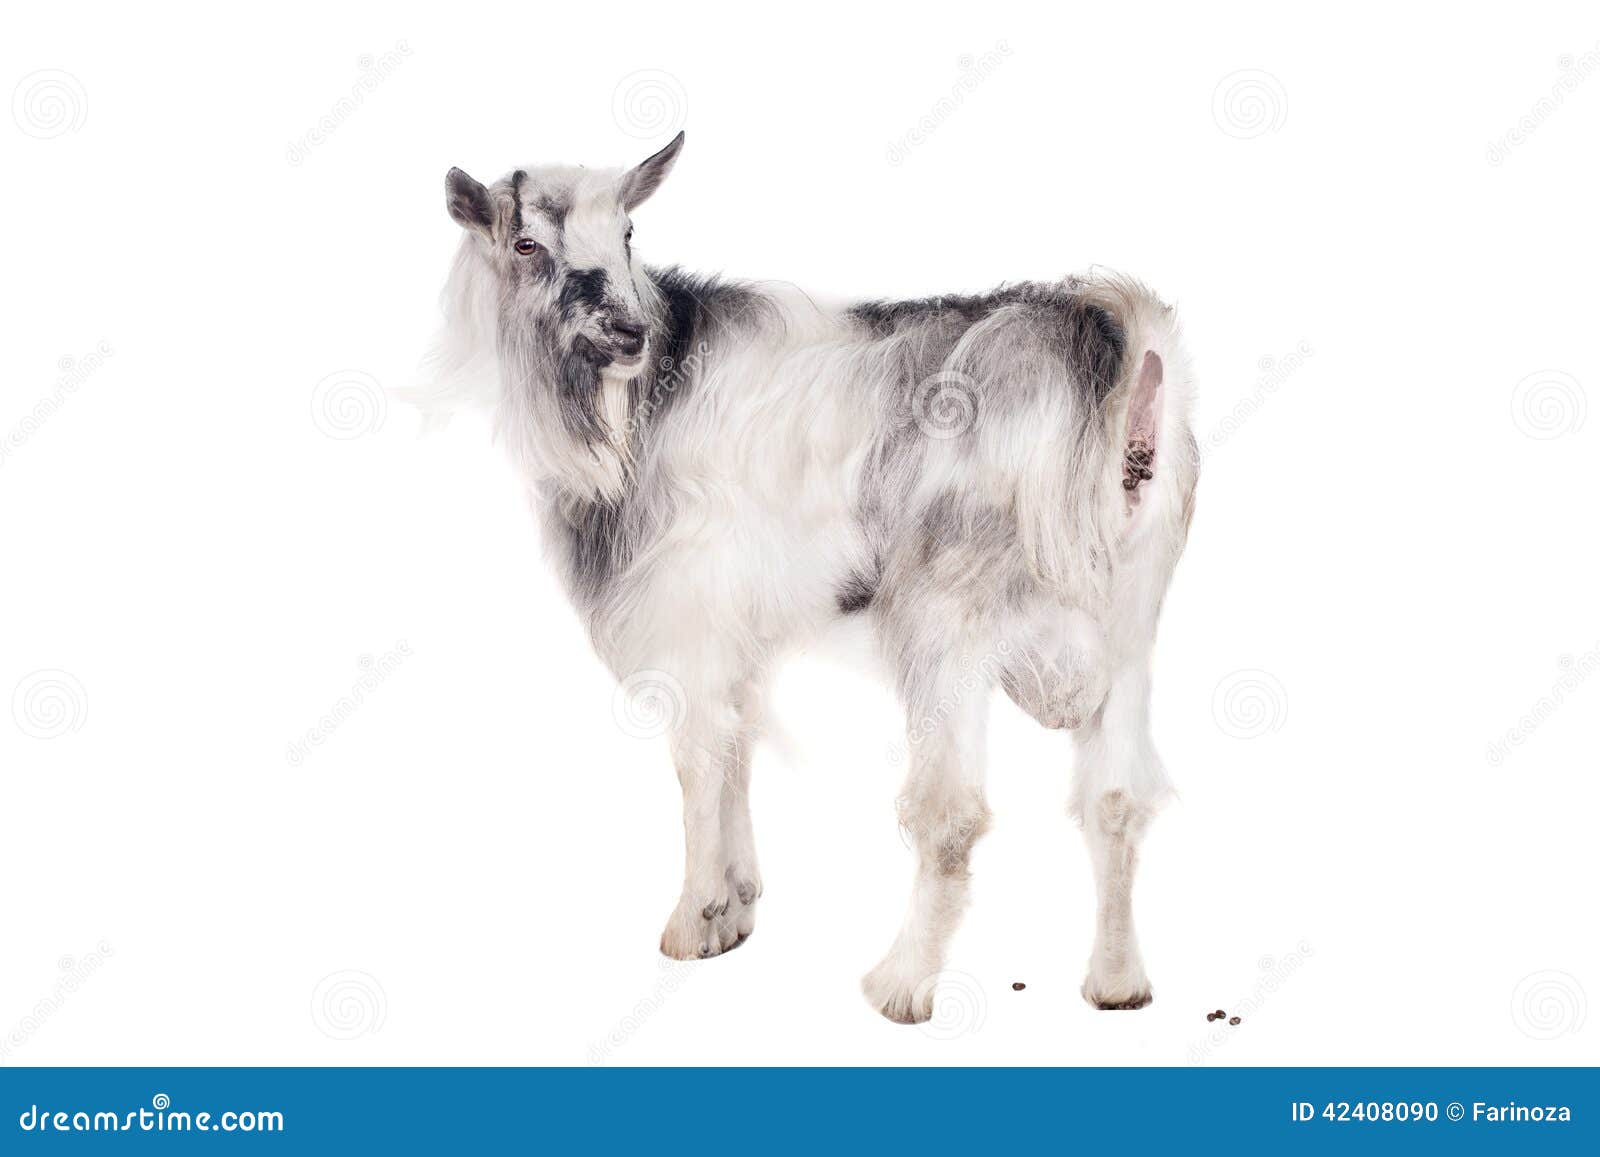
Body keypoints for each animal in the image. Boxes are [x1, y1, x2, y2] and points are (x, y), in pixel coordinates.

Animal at [418, 132, 1199, 1022]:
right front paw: (737, 905)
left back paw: (899, 984)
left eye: (626, 234)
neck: (647, 400)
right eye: (525, 243)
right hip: (1130, 619)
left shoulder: (690, 609)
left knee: (952, 814)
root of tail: (1106, 333)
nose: (627, 332)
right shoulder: (738, 630)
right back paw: (1117, 981)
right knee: (1117, 801)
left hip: (947, 621)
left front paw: (692, 920)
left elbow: (697, 758)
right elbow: (737, 742)